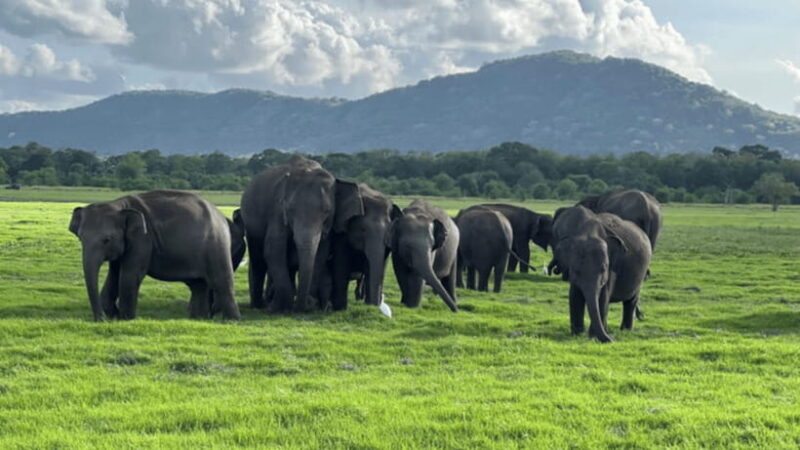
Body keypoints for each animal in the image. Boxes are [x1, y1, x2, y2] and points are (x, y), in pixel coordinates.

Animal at [68, 190, 241, 321]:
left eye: (106, 240)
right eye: (80, 238)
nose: (100, 319)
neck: (118, 205)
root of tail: (221, 216)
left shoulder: (143, 239)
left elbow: (130, 275)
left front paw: (126, 319)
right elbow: (114, 275)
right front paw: (114, 315)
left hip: (216, 246)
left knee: (222, 281)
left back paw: (231, 321)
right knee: (198, 285)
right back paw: (198, 319)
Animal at [239, 155, 363, 313]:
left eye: (327, 211)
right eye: (290, 209)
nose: (308, 303)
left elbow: (321, 254)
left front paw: (306, 304)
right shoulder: (277, 211)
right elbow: (273, 250)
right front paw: (278, 307)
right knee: (258, 260)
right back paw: (259, 305)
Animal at [551, 205, 651, 343]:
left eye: (603, 268)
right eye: (576, 270)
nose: (612, 339)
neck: (588, 231)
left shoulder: (612, 266)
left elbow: (603, 297)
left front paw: (593, 336)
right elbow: (574, 295)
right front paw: (578, 334)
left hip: (641, 274)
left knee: (631, 300)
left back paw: (625, 330)